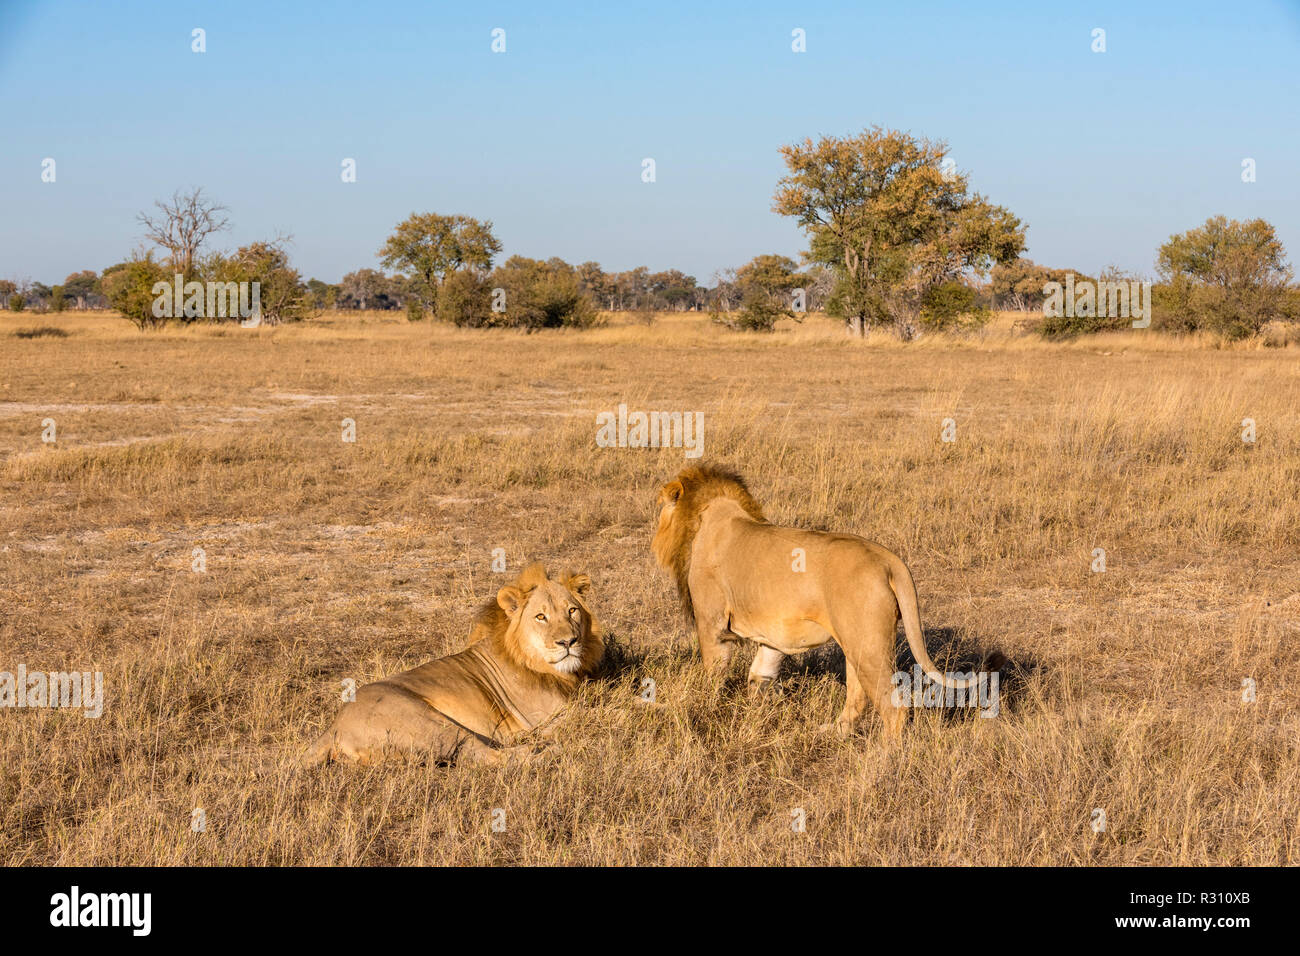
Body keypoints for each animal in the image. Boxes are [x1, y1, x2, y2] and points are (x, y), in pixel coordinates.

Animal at [302, 562, 604, 766]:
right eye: (541, 617)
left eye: (572, 610)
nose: (568, 642)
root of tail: (333, 727)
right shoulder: (544, 715)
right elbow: (599, 709)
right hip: (434, 725)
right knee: (489, 757)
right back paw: (547, 751)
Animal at [652, 463, 987, 737]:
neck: (706, 517)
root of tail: (888, 560)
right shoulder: (772, 637)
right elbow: (759, 677)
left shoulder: (712, 624)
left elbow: (714, 673)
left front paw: (703, 707)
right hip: (857, 643)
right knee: (858, 696)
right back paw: (834, 732)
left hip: (869, 645)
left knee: (894, 709)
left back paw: (884, 757)